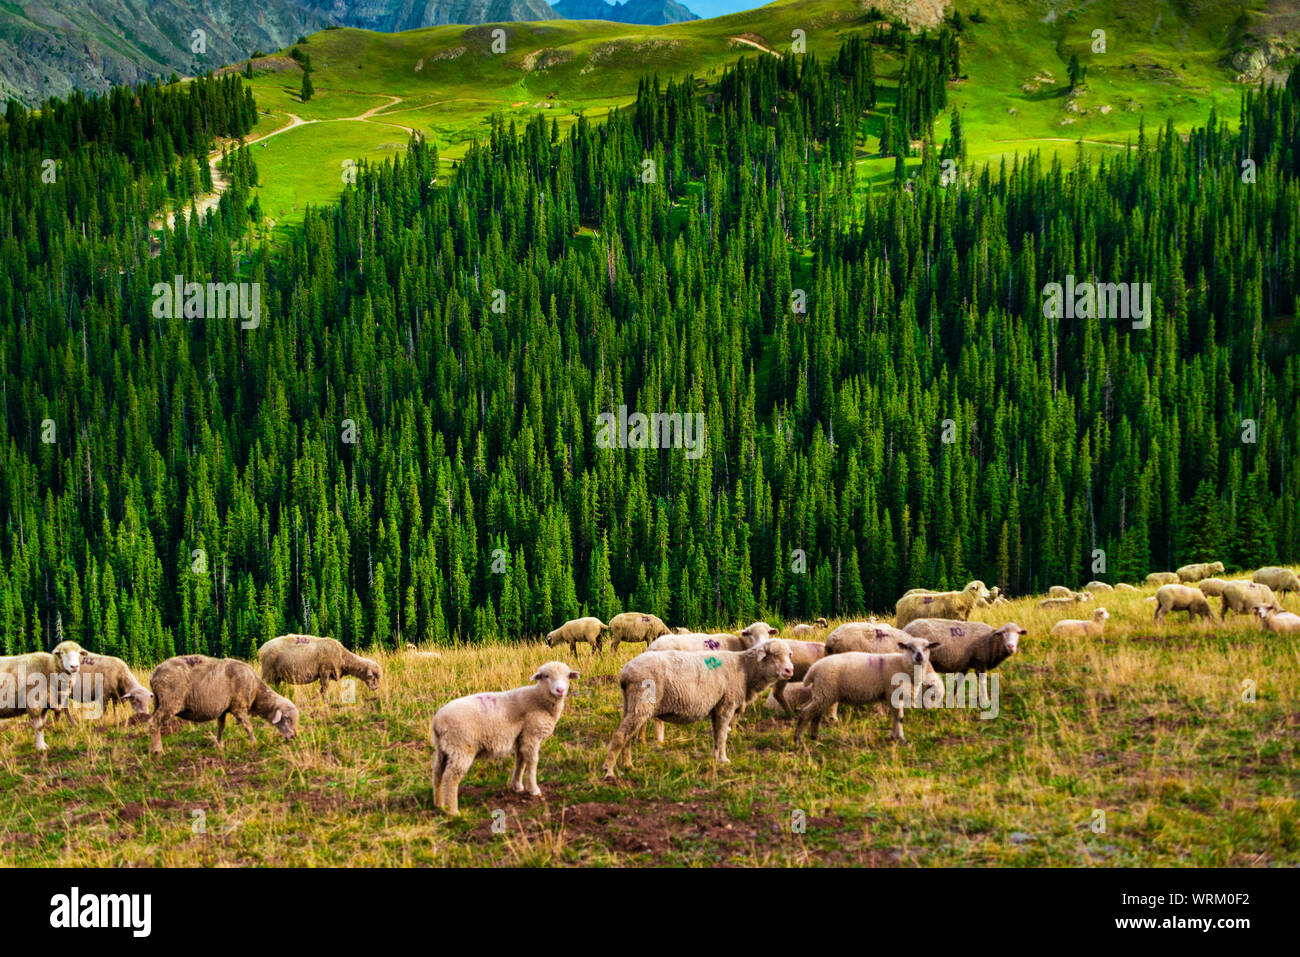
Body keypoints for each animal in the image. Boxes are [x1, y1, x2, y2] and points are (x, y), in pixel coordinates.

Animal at [148, 655, 298, 756]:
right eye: (287, 718)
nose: (294, 737)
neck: (256, 691)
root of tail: (154, 674)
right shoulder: (239, 707)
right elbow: (248, 726)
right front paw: (254, 742)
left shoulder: (223, 710)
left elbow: (221, 727)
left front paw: (219, 745)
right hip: (170, 702)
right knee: (153, 723)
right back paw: (158, 750)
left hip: (158, 702)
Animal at [430, 661, 577, 816]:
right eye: (546, 676)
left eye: (567, 676)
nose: (560, 690)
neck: (538, 699)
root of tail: (437, 721)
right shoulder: (531, 734)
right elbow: (532, 761)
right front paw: (534, 789)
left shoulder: (521, 736)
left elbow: (520, 761)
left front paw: (517, 786)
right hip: (461, 746)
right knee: (450, 778)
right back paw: (453, 811)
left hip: (443, 748)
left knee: (437, 772)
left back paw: (439, 803)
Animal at [601, 640, 794, 778]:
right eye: (774, 655)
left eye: (789, 654)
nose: (789, 670)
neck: (746, 670)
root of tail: (625, 674)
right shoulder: (727, 705)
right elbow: (723, 735)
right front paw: (724, 759)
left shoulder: (716, 707)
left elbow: (716, 734)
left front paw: (715, 757)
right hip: (642, 702)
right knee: (620, 735)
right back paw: (609, 771)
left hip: (630, 703)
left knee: (626, 735)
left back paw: (627, 765)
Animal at [793, 638, 940, 744]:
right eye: (910, 648)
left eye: (926, 647)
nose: (919, 656)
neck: (903, 665)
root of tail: (813, 669)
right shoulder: (892, 692)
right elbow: (899, 717)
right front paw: (901, 739)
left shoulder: (893, 696)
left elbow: (896, 717)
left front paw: (894, 736)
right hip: (825, 691)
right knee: (806, 712)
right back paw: (798, 739)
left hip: (823, 693)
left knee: (814, 712)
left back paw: (814, 736)